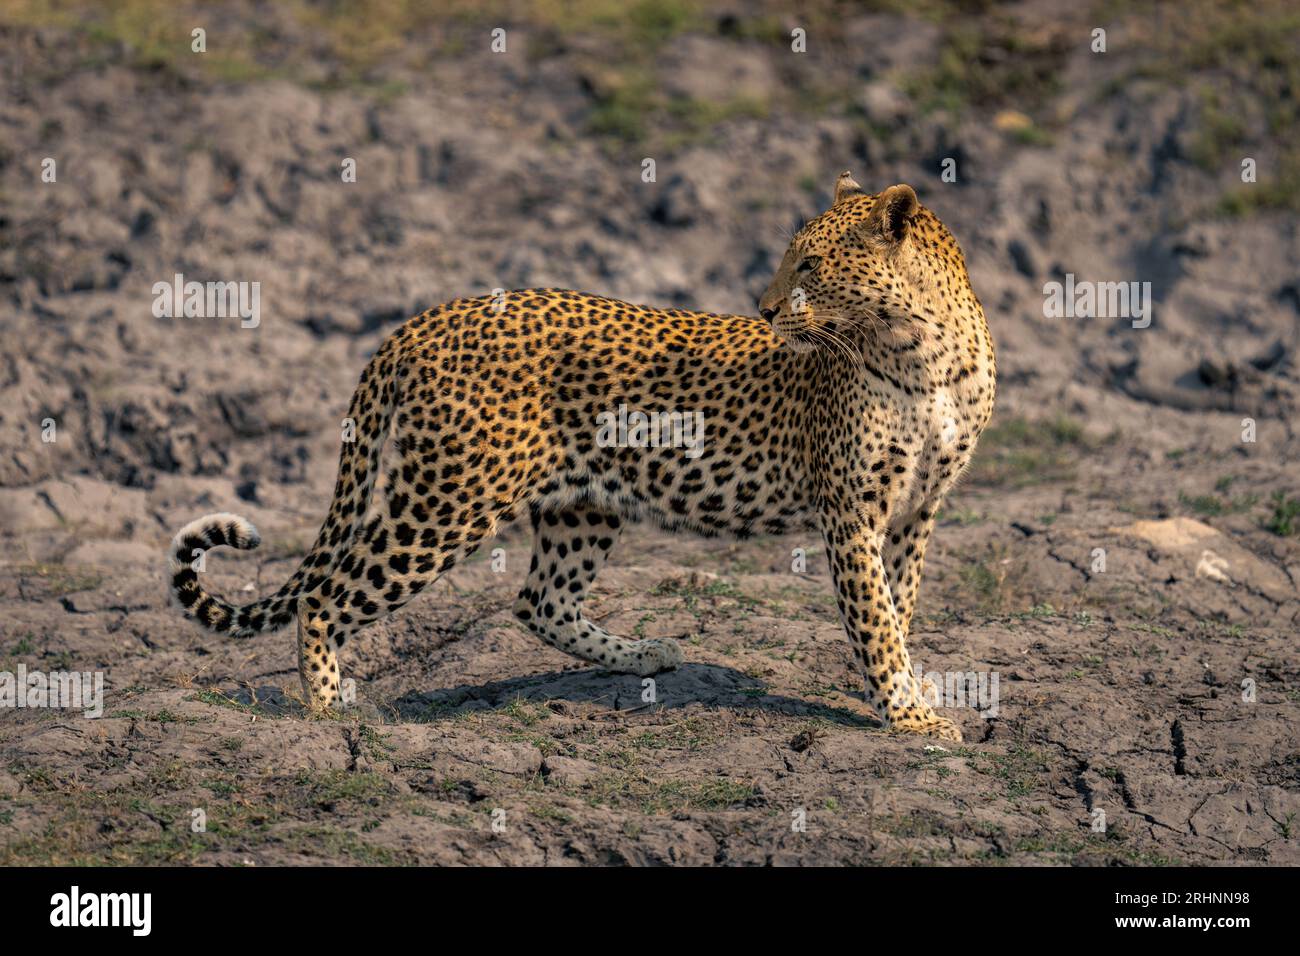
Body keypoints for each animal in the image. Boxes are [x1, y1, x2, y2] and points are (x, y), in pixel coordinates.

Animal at [167, 171, 996, 741]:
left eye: (812, 266)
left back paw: (646, 654)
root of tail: (423, 318)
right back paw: (327, 707)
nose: (763, 309)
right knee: (326, 593)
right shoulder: (853, 513)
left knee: (540, 600)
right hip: (449, 500)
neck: (923, 354)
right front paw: (911, 718)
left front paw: (908, 694)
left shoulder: (916, 511)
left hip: (581, 501)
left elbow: (898, 607)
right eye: (790, 261)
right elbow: (875, 619)